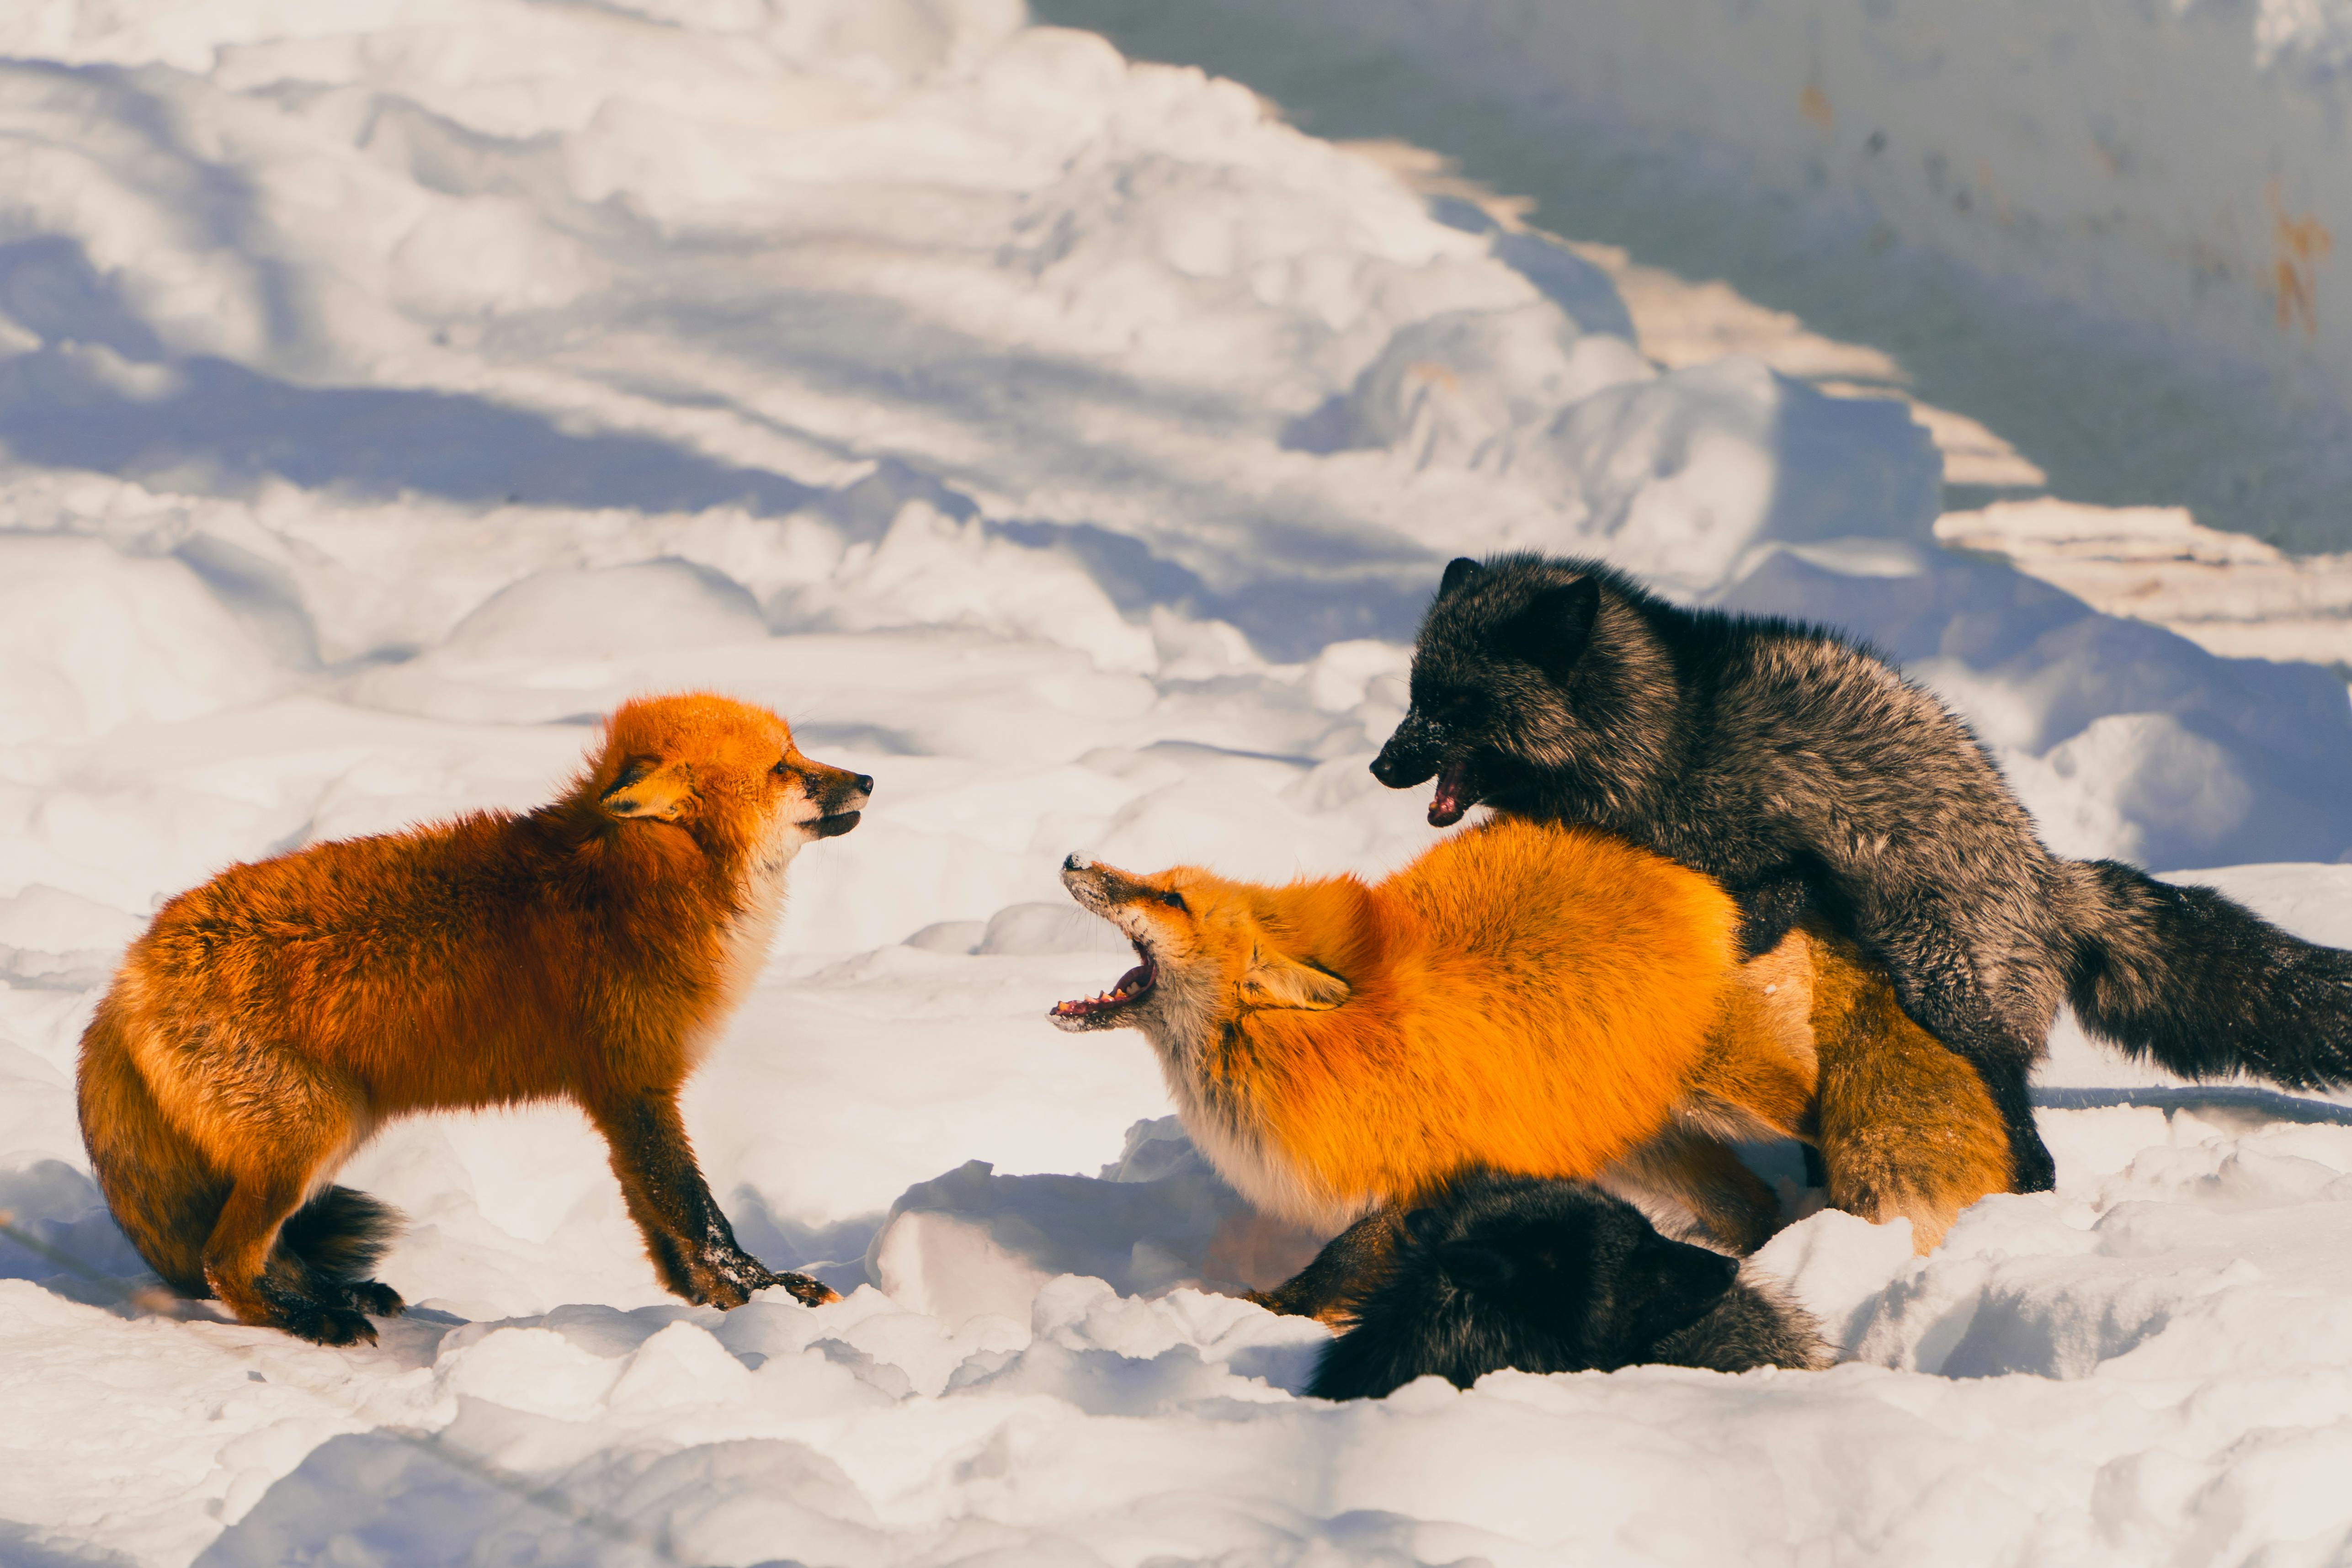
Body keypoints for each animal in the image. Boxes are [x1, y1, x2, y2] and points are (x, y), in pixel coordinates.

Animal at [76, 692, 871, 1346]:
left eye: (799, 752)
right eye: (785, 768)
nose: (867, 779)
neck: (638, 879)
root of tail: (127, 976)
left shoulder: (620, 1095)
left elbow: (663, 1225)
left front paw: (713, 1305)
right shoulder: (635, 1084)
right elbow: (697, 1211)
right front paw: (768, 1295)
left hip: (331, 1132)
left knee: (256, 1250)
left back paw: (342, 1293)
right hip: (304, 1138)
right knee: (222, 1261)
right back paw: (312, 1318)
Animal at [1048, 815, 2011, 1323]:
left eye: (1168, 898)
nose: (1072, 858)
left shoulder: (1431, 1173)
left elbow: (1327, 1271)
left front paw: (1248, 1314)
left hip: (1740, 1091)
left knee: (1817, 1137)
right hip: (1634, 1134)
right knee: (1748, 1207)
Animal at [1373, 553, 2352, 1195]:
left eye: (1458, 704)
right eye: (1415, 696)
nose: (1383, 765)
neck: (1663, 737)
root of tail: (2047, 873)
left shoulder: (1782, 854)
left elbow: (1767, 897)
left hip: (1945, 991)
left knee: (2020, 1126)